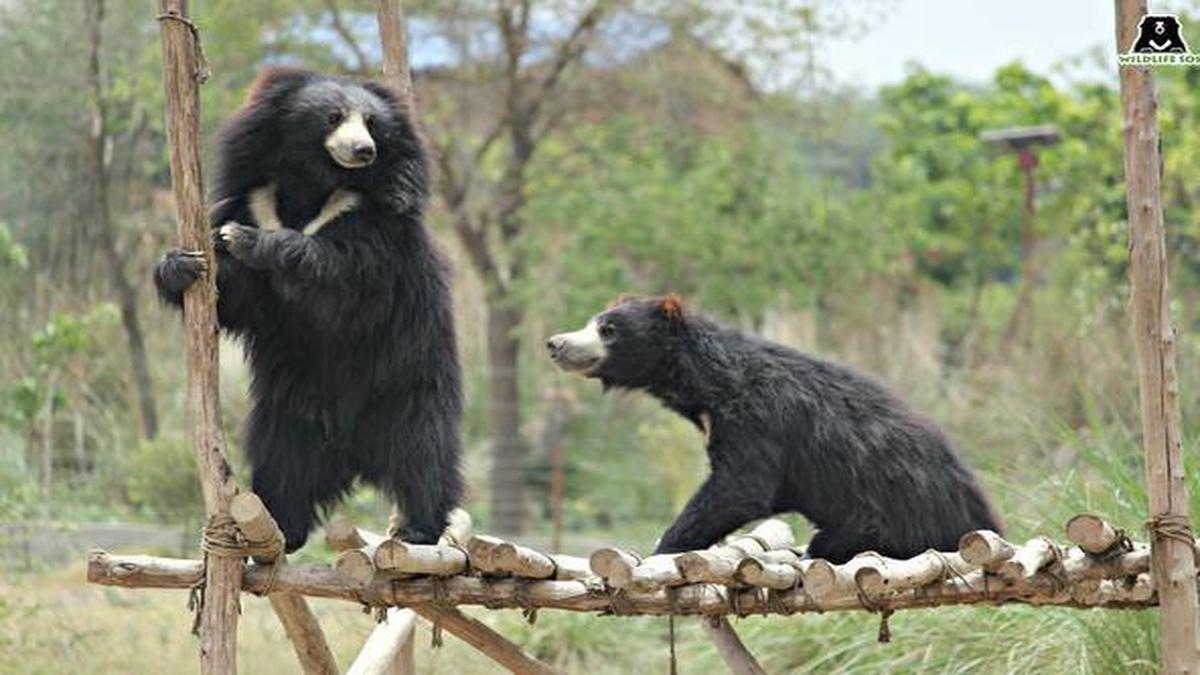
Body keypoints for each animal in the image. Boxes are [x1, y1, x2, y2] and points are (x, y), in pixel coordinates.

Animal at [154, 68, 463, 552]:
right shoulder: (256, 198)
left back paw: (418, 528)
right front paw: (180, 266)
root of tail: (355, 454)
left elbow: (343, 281)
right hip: (290, 417)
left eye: (372, 123)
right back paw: (282, 525)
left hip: (409, 388)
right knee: (284, 466)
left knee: (423, 454)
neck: (312, 184)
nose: (364, 151)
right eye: (333, 116)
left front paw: (248, 240)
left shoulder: (374, 226)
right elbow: (243, 299)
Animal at [546, 294, 1001, 563]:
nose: (554, 344)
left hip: (888, 516)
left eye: (608, 330)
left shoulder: (755, 419)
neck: (705, 386)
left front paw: (664, 547)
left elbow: (740, 486)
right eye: (591, 323)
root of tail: (986, 519)